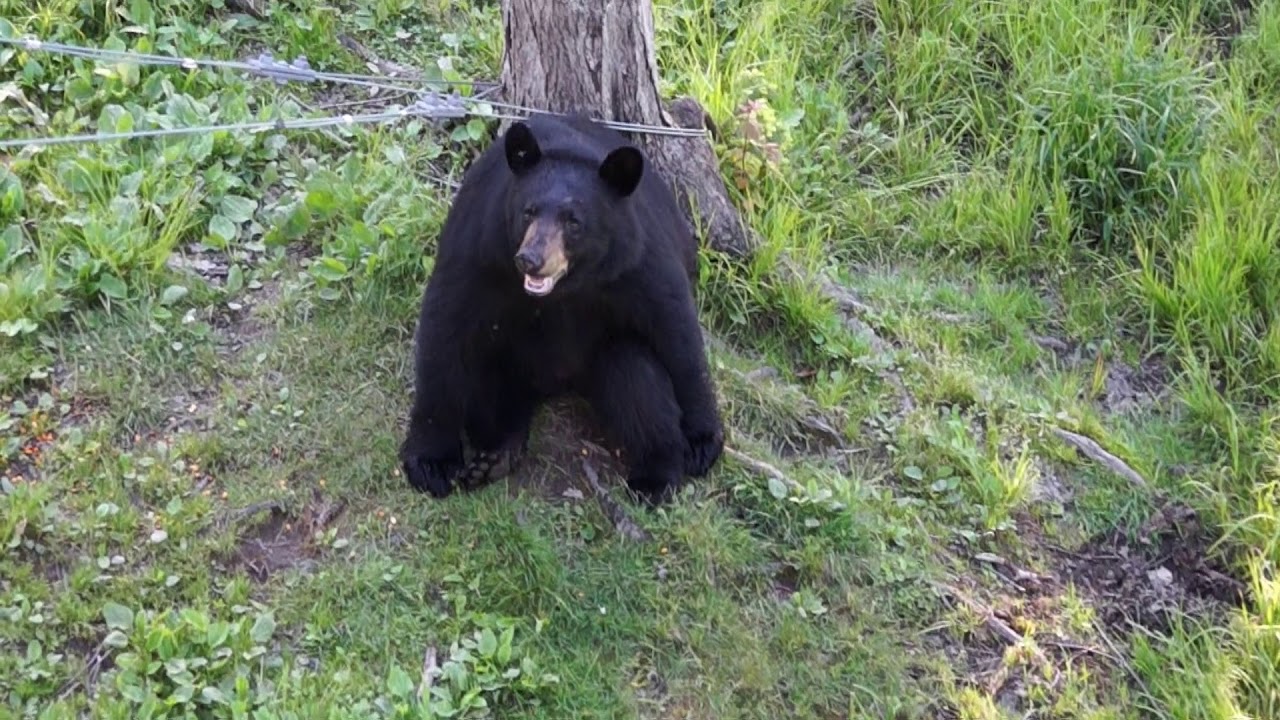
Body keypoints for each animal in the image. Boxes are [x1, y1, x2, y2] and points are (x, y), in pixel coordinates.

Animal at [398, 110, 725, 505]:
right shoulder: (482, 246)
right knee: (487, 377)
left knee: (634, 372)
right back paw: (496, 455)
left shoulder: (636, 261)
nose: (530, 259)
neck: (564, 289)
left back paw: (655, 477)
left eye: (573, 222)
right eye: (528, 212)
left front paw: (703, 440)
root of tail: (561, 383)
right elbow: (445, 328)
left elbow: (676, 332)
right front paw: (431, 461)